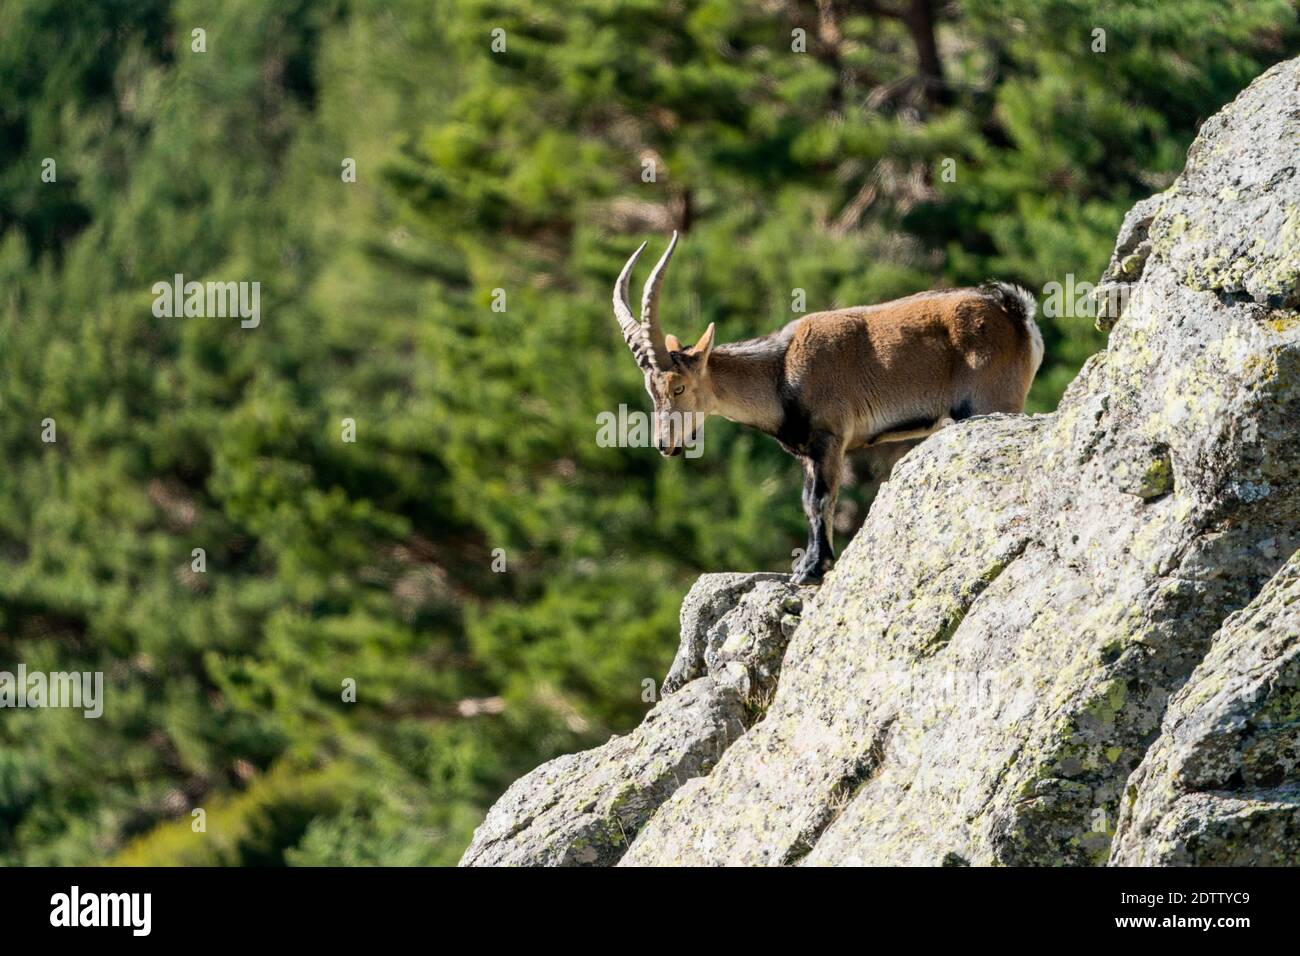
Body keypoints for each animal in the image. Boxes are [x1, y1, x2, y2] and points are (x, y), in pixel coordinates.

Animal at [613, 231, 1044, 584]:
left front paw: (812, 569)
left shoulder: (830, 437)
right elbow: (807, 501)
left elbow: (820, 499)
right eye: (651, 391)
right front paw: (807, 564)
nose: (665, 444)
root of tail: (1016, 315)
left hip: (994, 403)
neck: (780, 370)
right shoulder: (808, 451)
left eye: (679, 387)